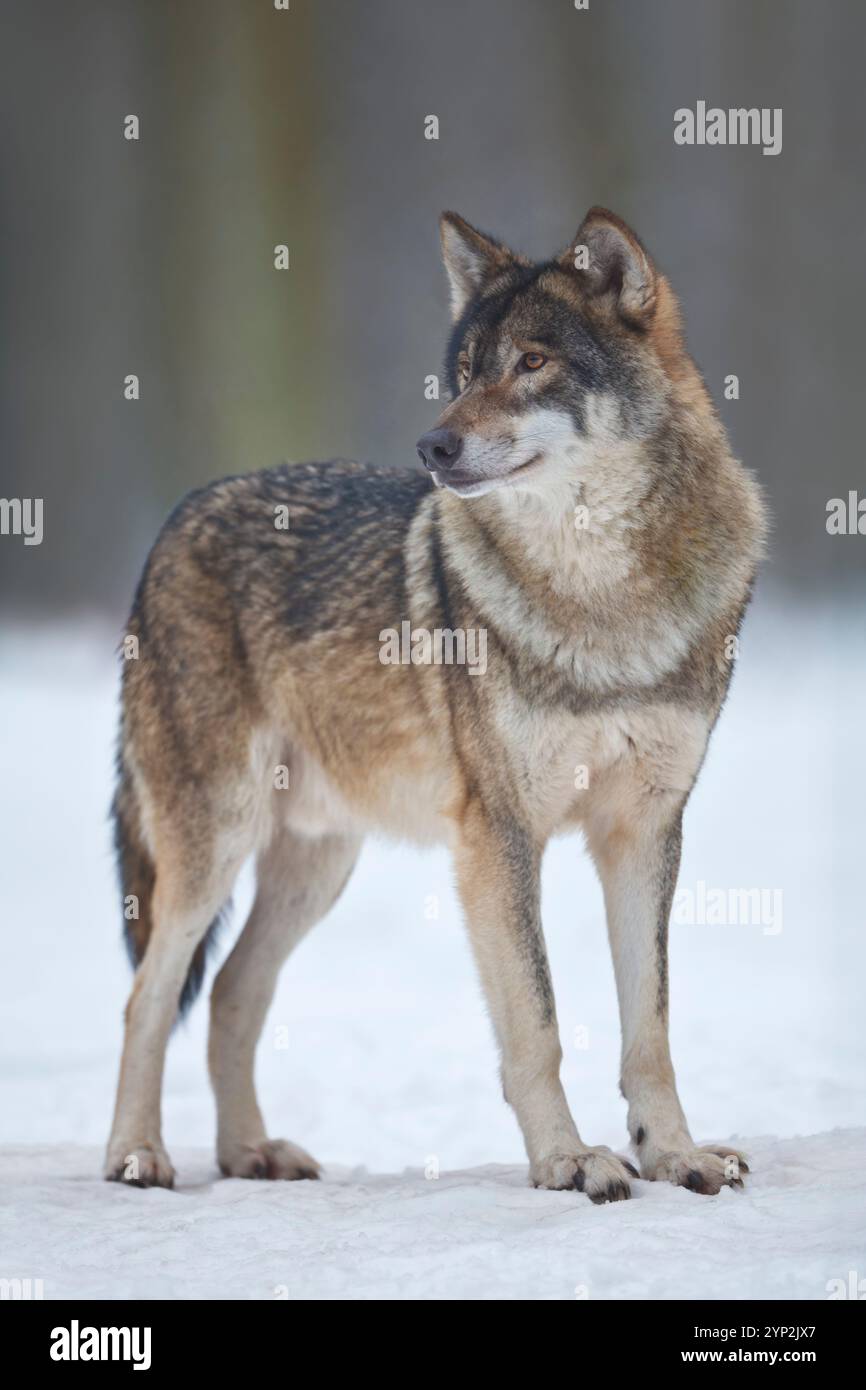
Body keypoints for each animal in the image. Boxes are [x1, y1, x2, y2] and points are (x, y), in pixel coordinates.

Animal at [106, 207, 765, 1202]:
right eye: (461, 376)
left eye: (531, 362)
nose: (432, 447)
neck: (601, 597)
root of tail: (173, 522)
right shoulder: (499, 837)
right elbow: (537, 1021)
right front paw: (568, 1161)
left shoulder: (645, 831)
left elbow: (649, 1029)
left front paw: (676, 1154)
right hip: (215, 842)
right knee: (150, 992)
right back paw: (137, 1155)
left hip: (316, 867)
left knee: (229, 991)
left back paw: (250, 1153)